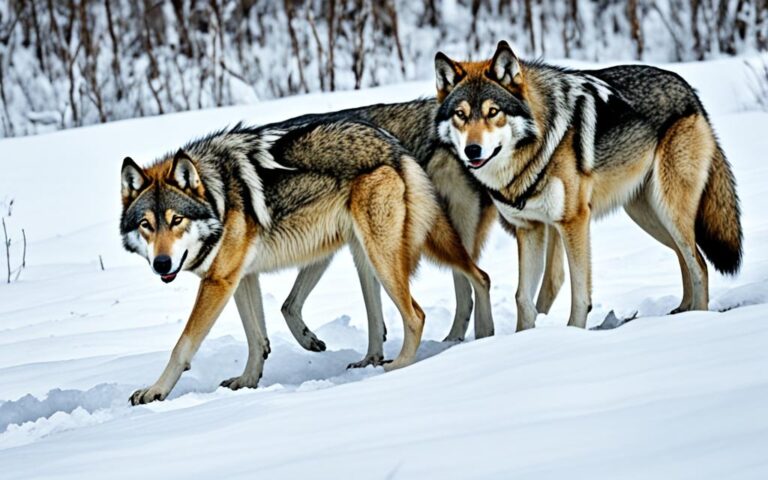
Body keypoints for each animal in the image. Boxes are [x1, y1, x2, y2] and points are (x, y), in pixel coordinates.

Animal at [120, 118, 493, 404]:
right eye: (146, 225)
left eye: (176, 220)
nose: (162, 264)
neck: (218, 196)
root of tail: (395, 148)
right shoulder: (241, 277)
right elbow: (256, 338)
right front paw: (248, 382)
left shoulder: (218, 281)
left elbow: (183, 345)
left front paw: (154, 392)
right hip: (371, 253)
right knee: (479, 277)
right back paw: (480, 336)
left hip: (385, 256)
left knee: (418, 313)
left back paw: (397, 368)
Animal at [433, 40, 743, 330]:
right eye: (461, 115)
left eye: (493, 111)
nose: (472, 150)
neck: (535, 148)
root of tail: (689, 90)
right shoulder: (530, 228)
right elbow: (523, 297)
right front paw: (528, 336)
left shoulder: (574, 221)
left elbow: (580, 296)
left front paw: (573, 335)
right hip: (648, 215)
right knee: (684, 257)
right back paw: (683, 312)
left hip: (669, 211)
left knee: (699, 264)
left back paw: (697, 318)